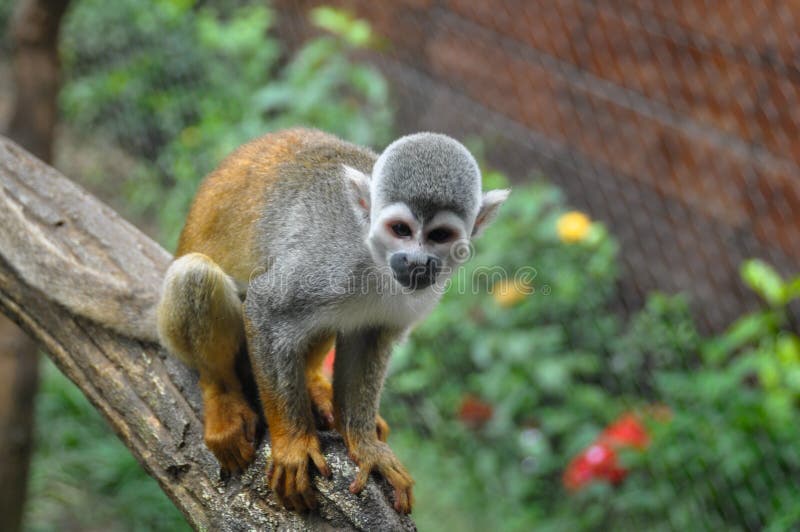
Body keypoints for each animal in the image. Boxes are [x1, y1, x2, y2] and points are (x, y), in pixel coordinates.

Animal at [156, 128, 509, 514]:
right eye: (400, 229)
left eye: (440, 236)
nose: (416, 263)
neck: (375, 259)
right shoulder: (329, 263)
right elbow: (266, 308)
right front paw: (293, 445)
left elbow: (370, 339)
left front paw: (365, 444)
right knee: (195, 274)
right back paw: (221, 393)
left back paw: (313, 384)